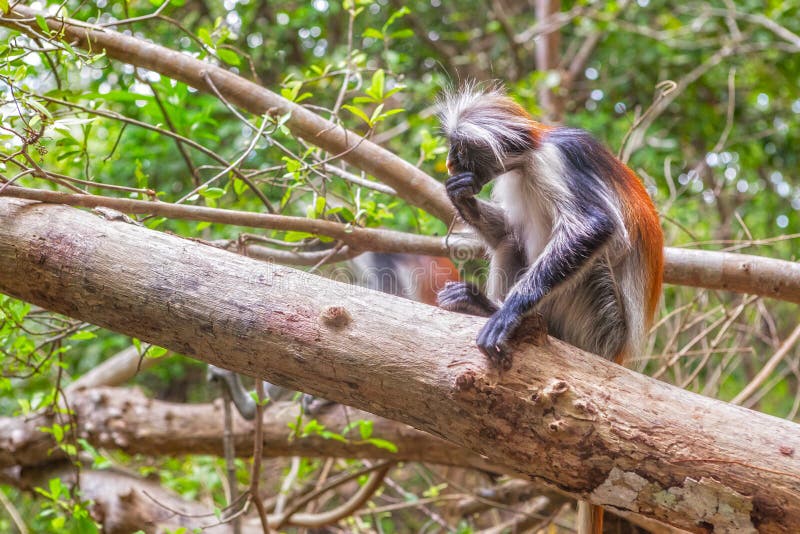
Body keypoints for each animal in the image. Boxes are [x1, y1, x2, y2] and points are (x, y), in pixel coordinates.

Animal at [436, 84, 664, 534]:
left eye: (461, 149)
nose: (450, 163)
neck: (529, 157)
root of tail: (618, 353)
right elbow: (506, 232)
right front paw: (460, 198)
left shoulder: (557, 158)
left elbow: (594, 226)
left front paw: (506, 315)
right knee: (511, 241)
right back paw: (480, 305)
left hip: (600, 320)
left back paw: (509, 315)